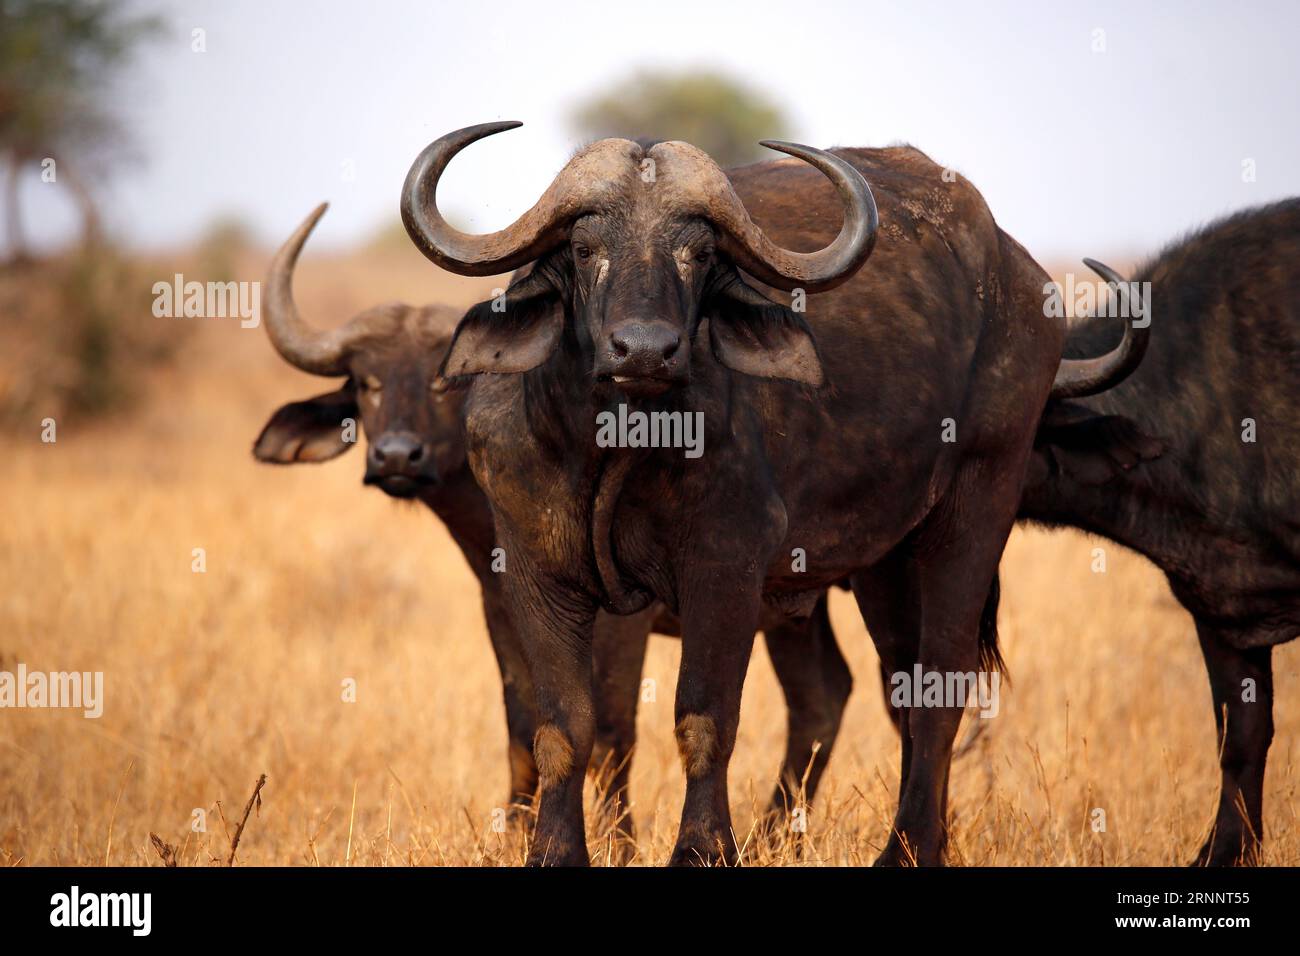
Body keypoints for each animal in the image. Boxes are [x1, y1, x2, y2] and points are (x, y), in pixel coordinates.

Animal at [400, 123, 1143, 865]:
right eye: (584, 249)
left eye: (698, 254)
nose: (645, 350)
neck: (615, 445)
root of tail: (1023, 281)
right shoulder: (532, 571)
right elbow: (562, 725)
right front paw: (554, 851)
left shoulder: (724, 567)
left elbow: (703, 717)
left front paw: (701, 848)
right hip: (883, 561)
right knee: (893, 683)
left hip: (979, 502)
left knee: (940, 684)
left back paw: (907, 847)